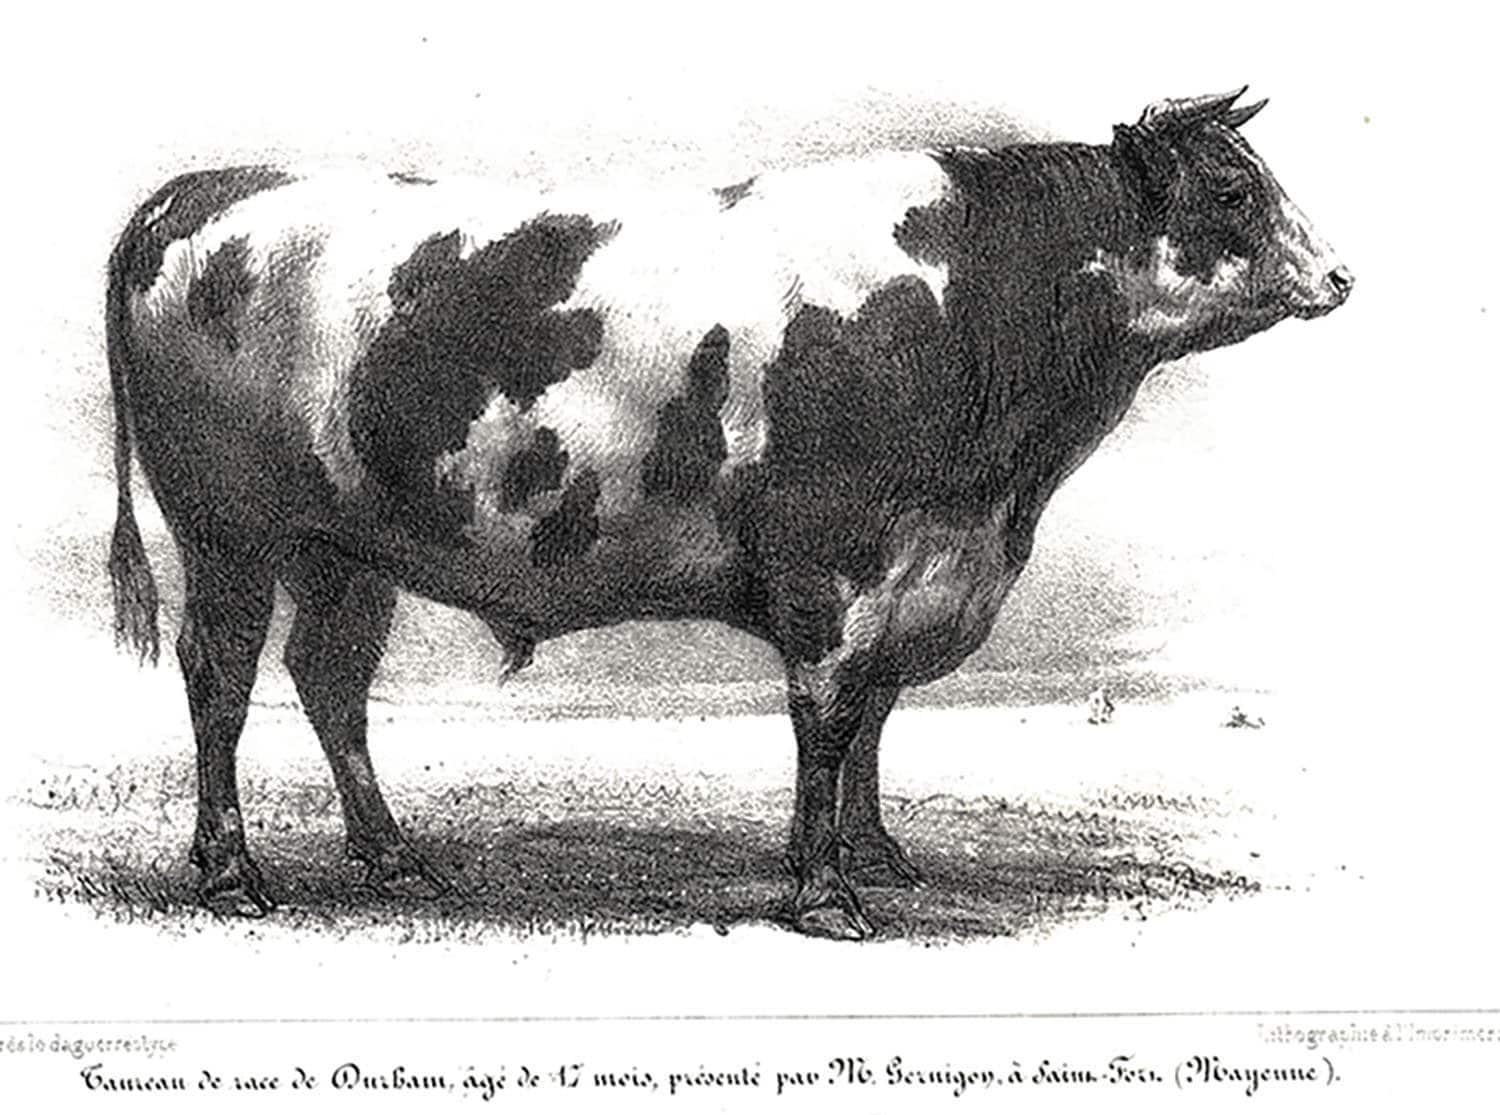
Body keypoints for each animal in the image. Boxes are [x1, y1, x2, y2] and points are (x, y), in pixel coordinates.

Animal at [106, 88, 1351, 939]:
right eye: (1233, 191)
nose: (1341, 276)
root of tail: (195, 190)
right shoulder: (836, 559)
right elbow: (828, 717)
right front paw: (826, 892)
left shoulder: (916, 567)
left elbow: (874, 718)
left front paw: (878, 851)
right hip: (226, 527)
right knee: (220, 675)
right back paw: (232, 873)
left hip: (345, 546)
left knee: (328, 678)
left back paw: (394, 857)